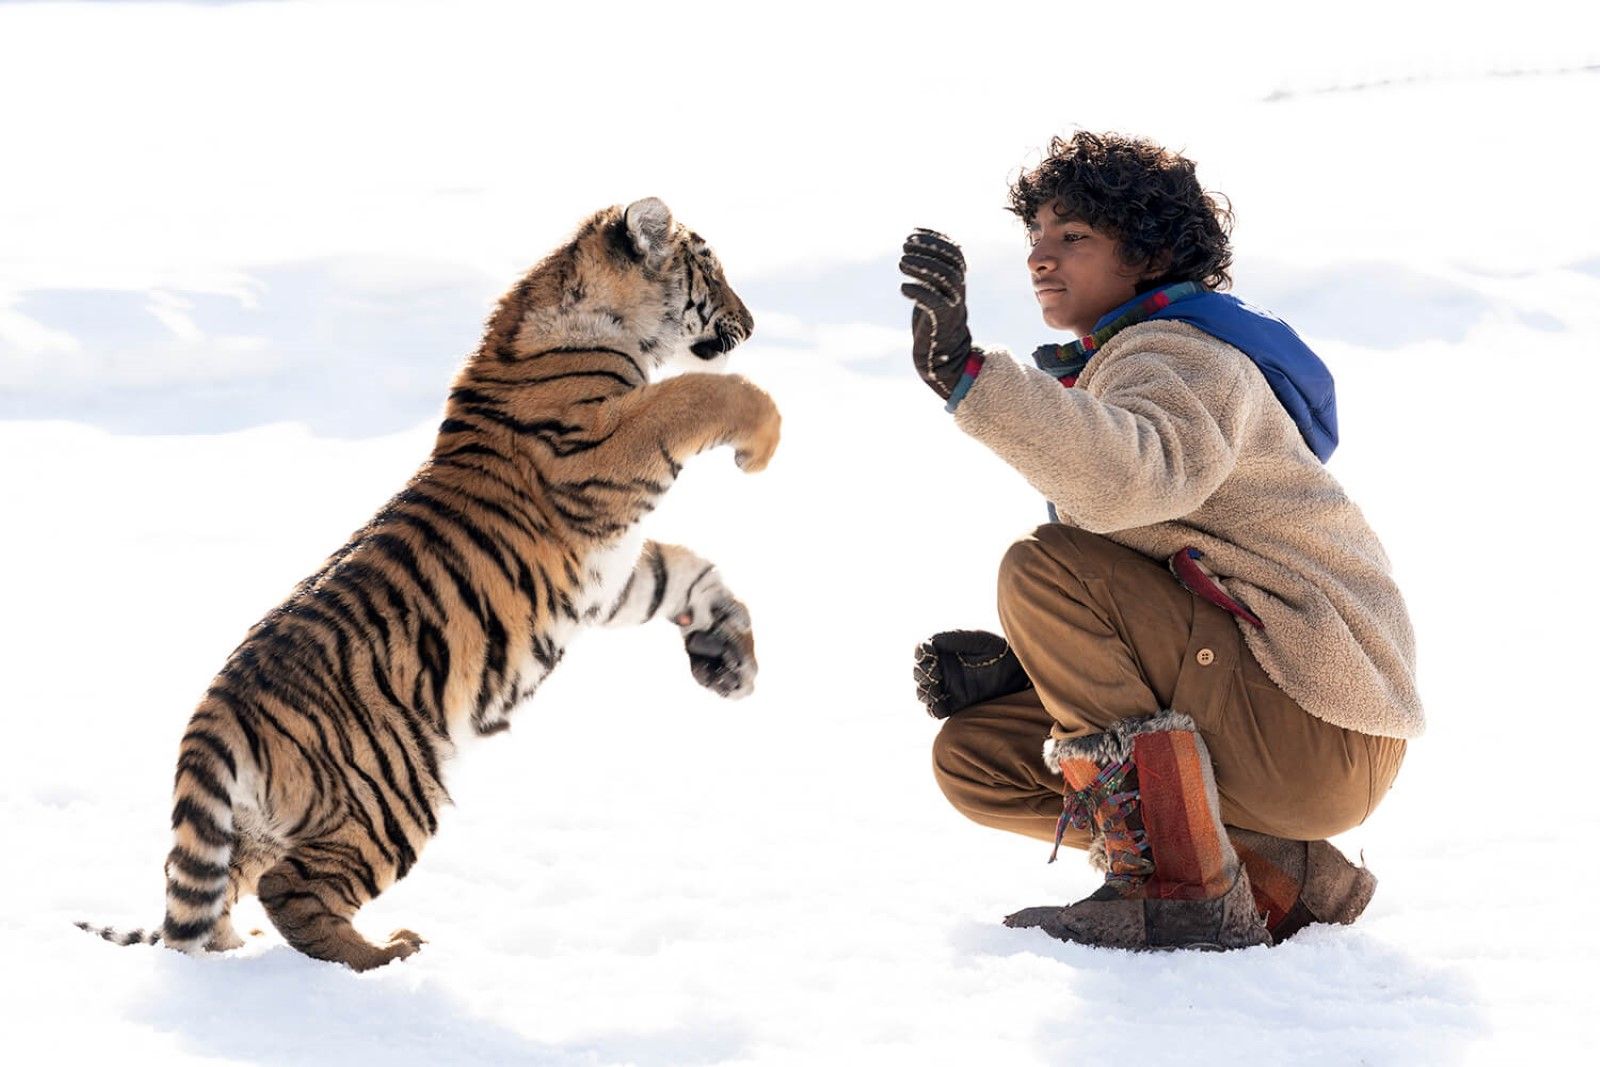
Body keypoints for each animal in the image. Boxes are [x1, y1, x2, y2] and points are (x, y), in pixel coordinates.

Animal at [78, 197, 780, 971]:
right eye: (711, 269)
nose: (753, 321)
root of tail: (214, 712)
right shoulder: (600, 449)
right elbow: (700, 393)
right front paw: (761, 443)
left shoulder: (611, 577)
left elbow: (686, 573)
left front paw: (729, 660)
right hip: (390, 794)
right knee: (293, 889)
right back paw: (384, 955)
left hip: (267, 821)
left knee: (220, 891)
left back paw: (236, 950)